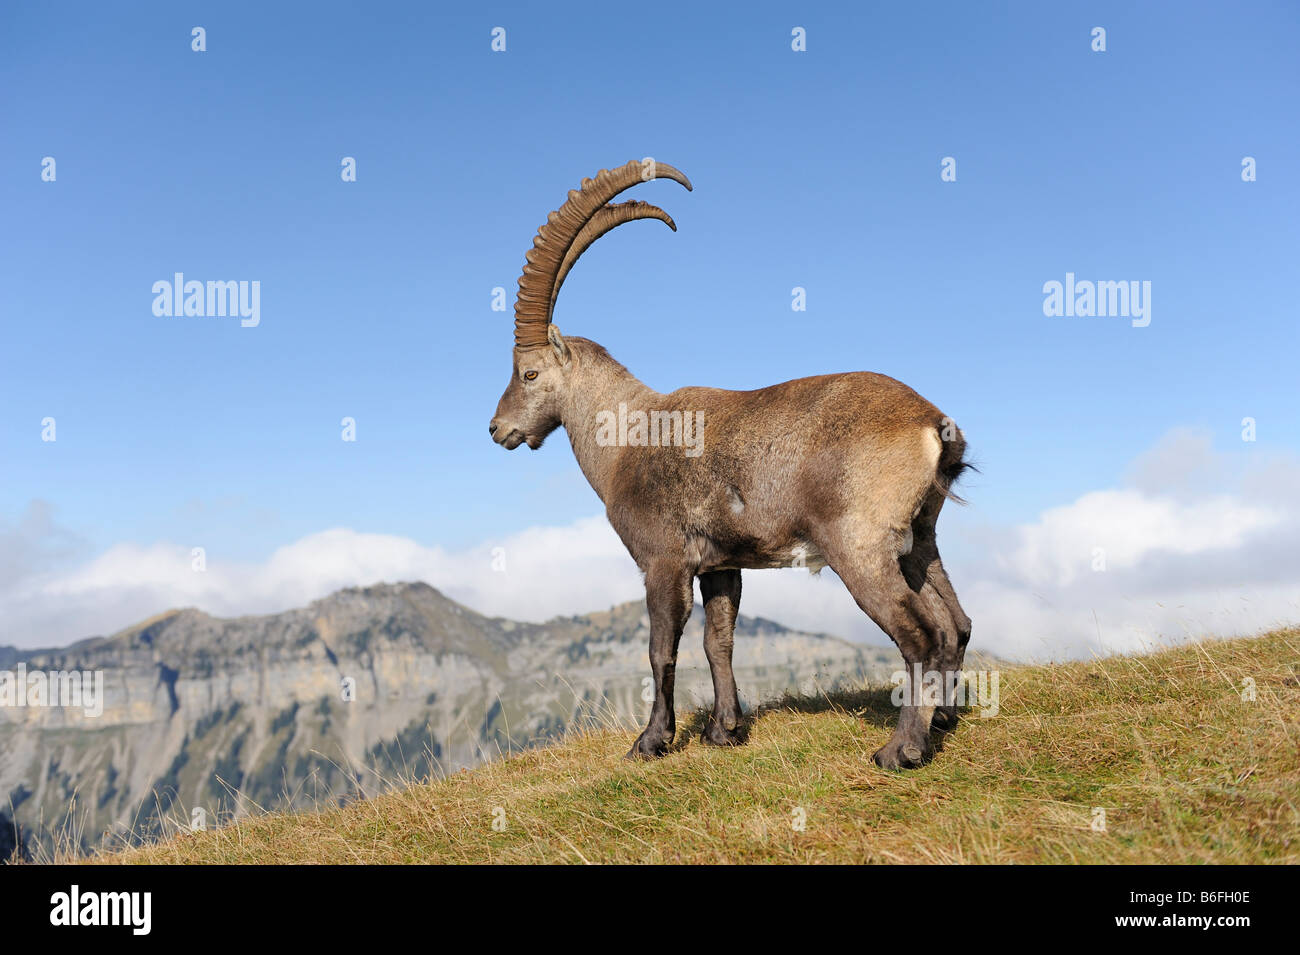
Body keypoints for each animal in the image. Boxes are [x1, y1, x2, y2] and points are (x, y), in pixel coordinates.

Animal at [490, 160, 972, 769]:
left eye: (528, 373)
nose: (498, 428)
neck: (624, 439)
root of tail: (932, 423)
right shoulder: (720, 565)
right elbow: (717, 640)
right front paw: (725, 729)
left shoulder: (663, 559)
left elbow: (661, 649)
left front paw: (651, 740)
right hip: (918, 538)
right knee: (955, 625)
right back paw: (944, 719)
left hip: (858, 545)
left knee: (919, 633)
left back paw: (901, 749)